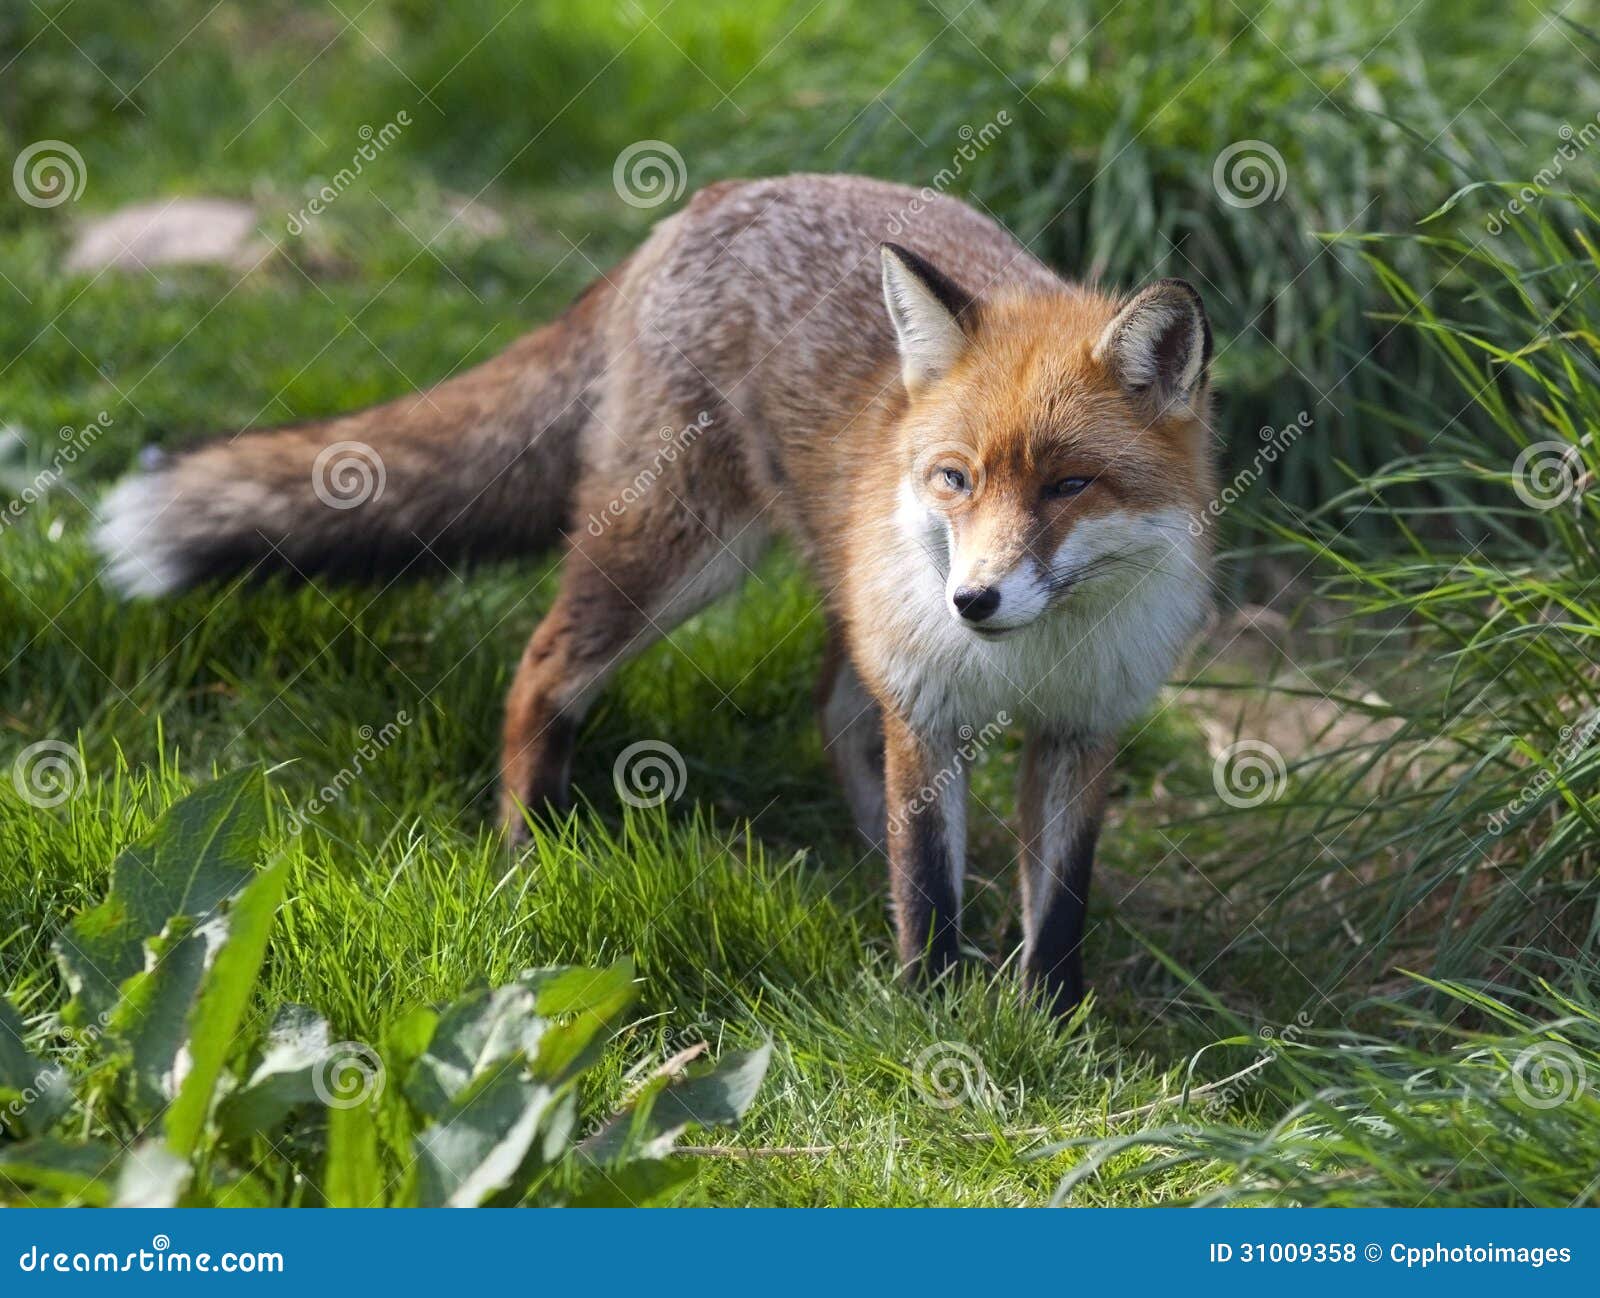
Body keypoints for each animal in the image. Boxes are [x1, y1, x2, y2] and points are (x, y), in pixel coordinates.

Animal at [96, 173, 1217, 1013]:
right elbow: (928, 895)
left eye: (1070, 486)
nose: (975, 603)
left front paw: (1050, 1024)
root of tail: (703, 202)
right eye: (958, 477)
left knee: (835, 712)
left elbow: (1056, 907)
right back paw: (526, 852)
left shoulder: (1083, 726)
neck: (1035, 653)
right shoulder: (930, 704)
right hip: (676, 556)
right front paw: (938, 1019)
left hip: (837, 587)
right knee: (540, 668)